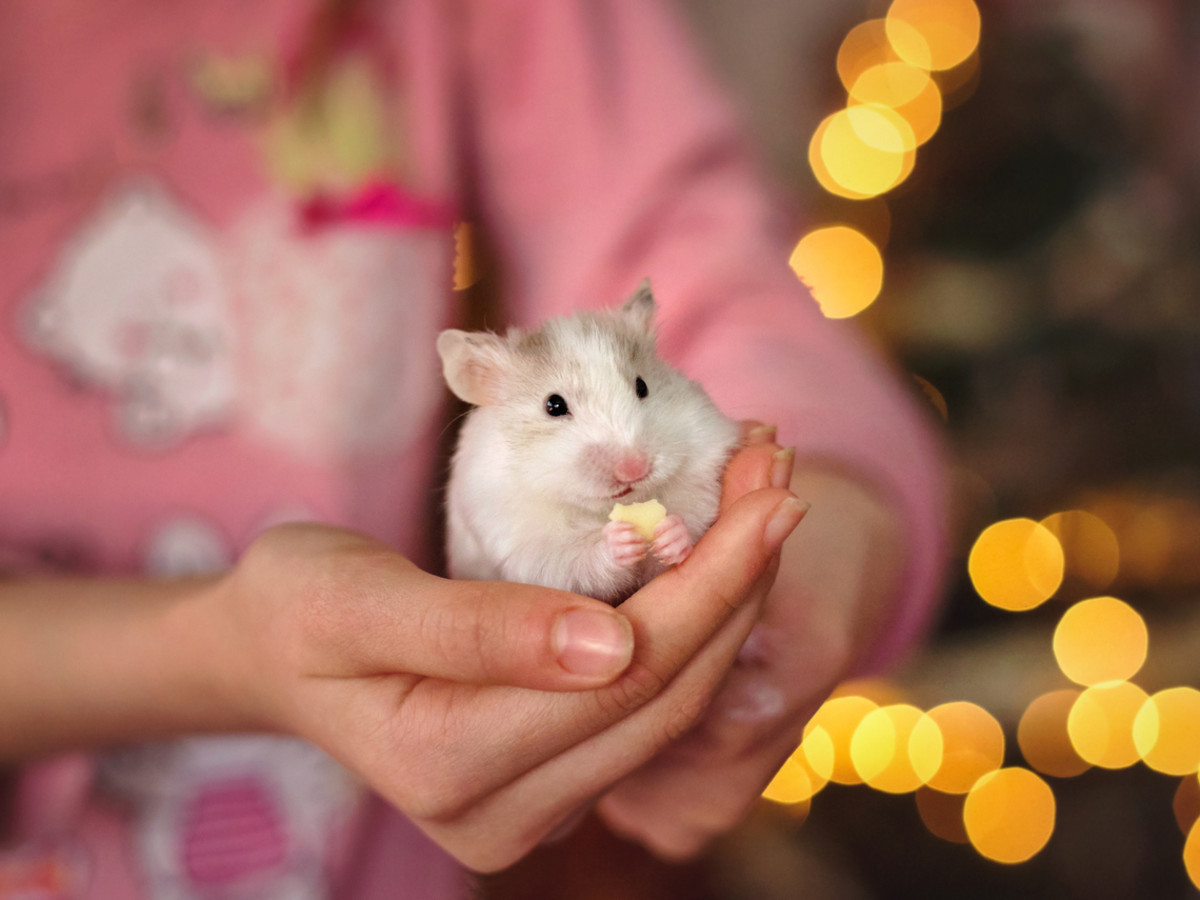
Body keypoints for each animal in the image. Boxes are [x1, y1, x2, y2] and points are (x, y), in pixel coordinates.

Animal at [436, 280, 740, 604]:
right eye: (553, 405)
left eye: (642, 386)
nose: (634, 470)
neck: (601, 510)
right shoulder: (525, 544)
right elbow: (574, 560)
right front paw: (619, 540)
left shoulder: (700, 474)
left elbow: (688, 522)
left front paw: (671, 532)